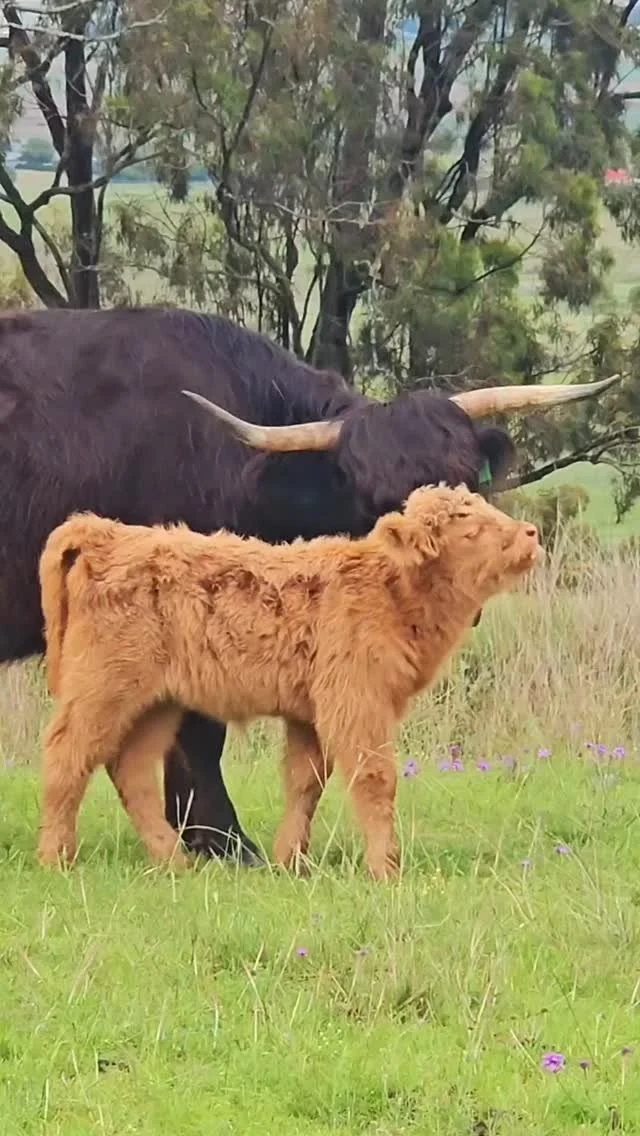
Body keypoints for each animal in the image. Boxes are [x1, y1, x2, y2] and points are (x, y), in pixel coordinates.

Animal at [37, 485, 540, 878]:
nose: (530, 534)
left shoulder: (310, 716)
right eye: (467, 526)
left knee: (132, 770)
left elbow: (305, 782)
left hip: (157, 703)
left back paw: (173, 863)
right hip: (101, 688)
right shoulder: (357, 702)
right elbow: (374, 778)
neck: (391, 588)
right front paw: (386, 869)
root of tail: (109, 533)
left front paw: (290, 861)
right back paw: (54, 858)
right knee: (67, 756)